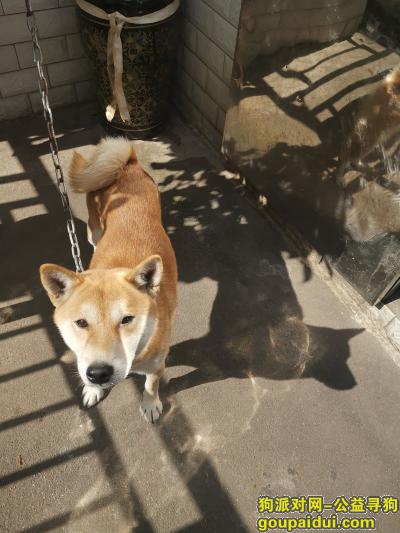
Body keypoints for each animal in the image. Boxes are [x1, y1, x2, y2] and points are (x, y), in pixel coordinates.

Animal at [39, 138, 177, 424]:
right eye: (81, 323)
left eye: (127, 320)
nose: (99, 373)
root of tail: (127, 165)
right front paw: (93, 389)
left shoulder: (157, 363)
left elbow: (150, 385)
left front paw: (150, 404)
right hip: (93, 227)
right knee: (94, 238)